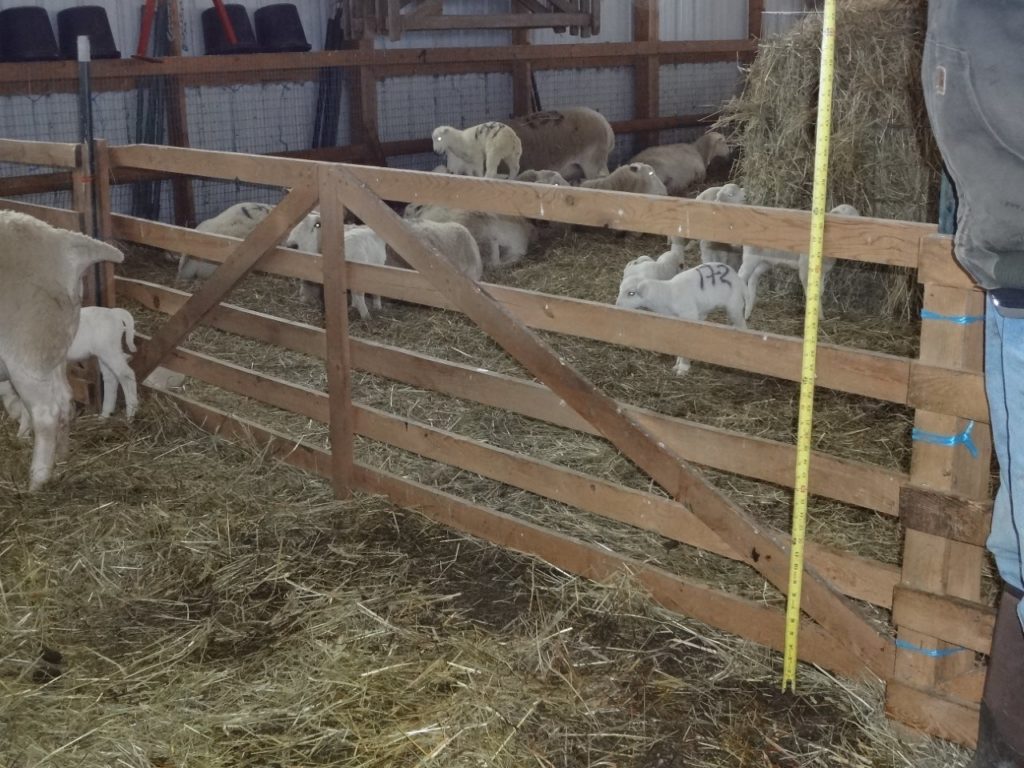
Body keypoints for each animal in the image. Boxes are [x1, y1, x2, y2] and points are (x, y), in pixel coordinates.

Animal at [0, 210, 124, 490]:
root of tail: (62, 242)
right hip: (53, 348)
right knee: (66, 399)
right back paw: (62, 456)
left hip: (28, 351)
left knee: (46, 413)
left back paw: (38, 478)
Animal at [2, 306, 139, 437]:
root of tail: (114, 313)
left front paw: (22, 432)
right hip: (104, 352)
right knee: (111, 378)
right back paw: (105, 415)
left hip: (109, 349)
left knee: (126, 375)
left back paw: (130, 415)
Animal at [615, 262, 747, 376]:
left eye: (631, 293)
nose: (617, 306)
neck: (667, 294)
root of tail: (737, 277)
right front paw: (679, 363)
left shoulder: (689, 315)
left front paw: (683, 367)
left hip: (734, 305)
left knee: (742, 325)